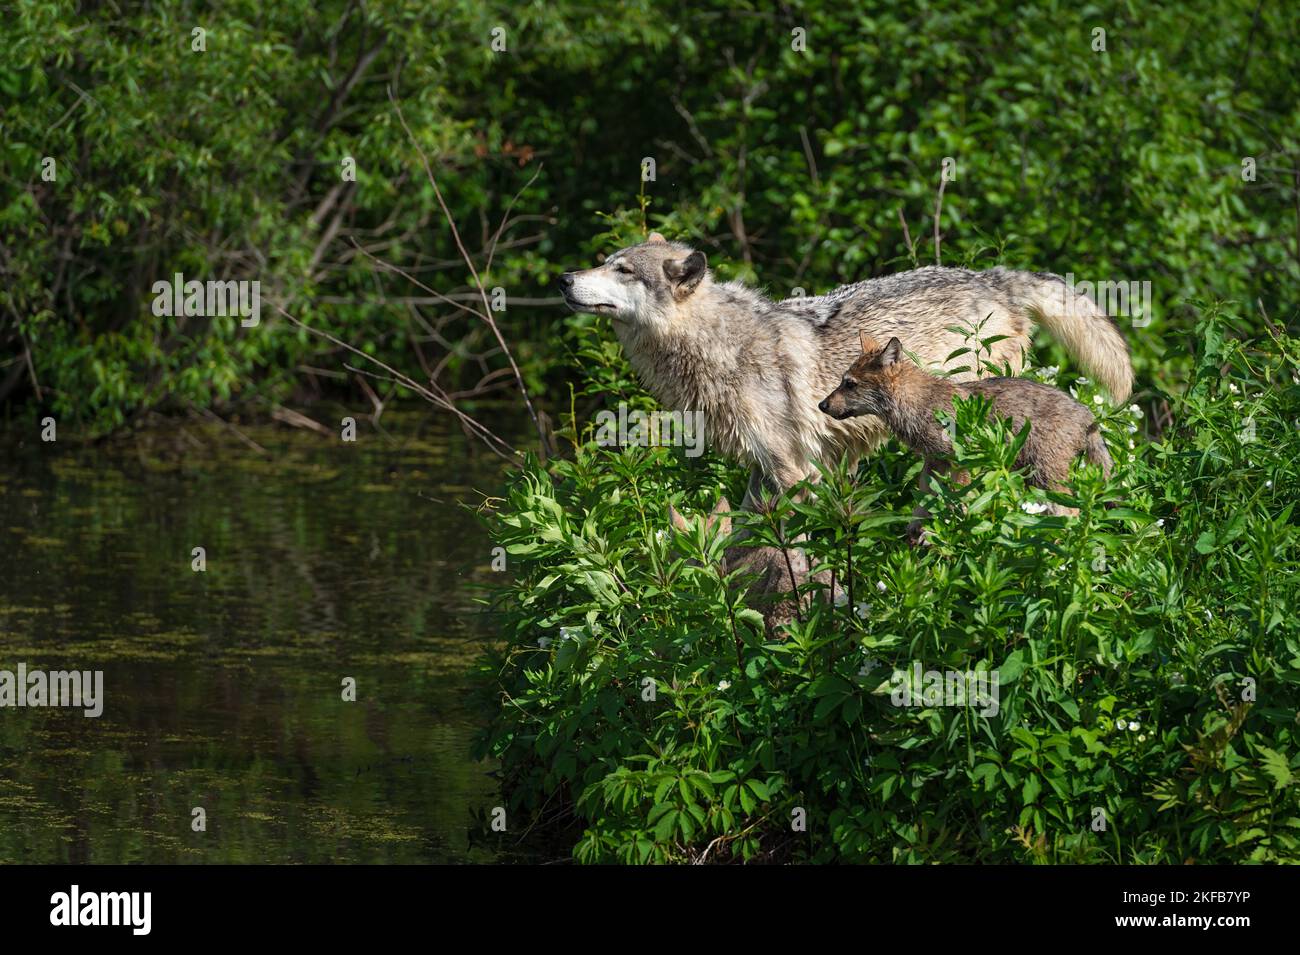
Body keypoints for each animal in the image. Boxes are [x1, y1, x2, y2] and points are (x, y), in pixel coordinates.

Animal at [820, 334, 1113, 520]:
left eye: (850, 384)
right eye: (843, 382)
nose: (822, 405)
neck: (920, 402)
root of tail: (1087, 413)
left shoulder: (960, 462)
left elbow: (957, 503)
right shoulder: (933, 462)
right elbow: (922, 507)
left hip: (1045, 477)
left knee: (1072, 511)